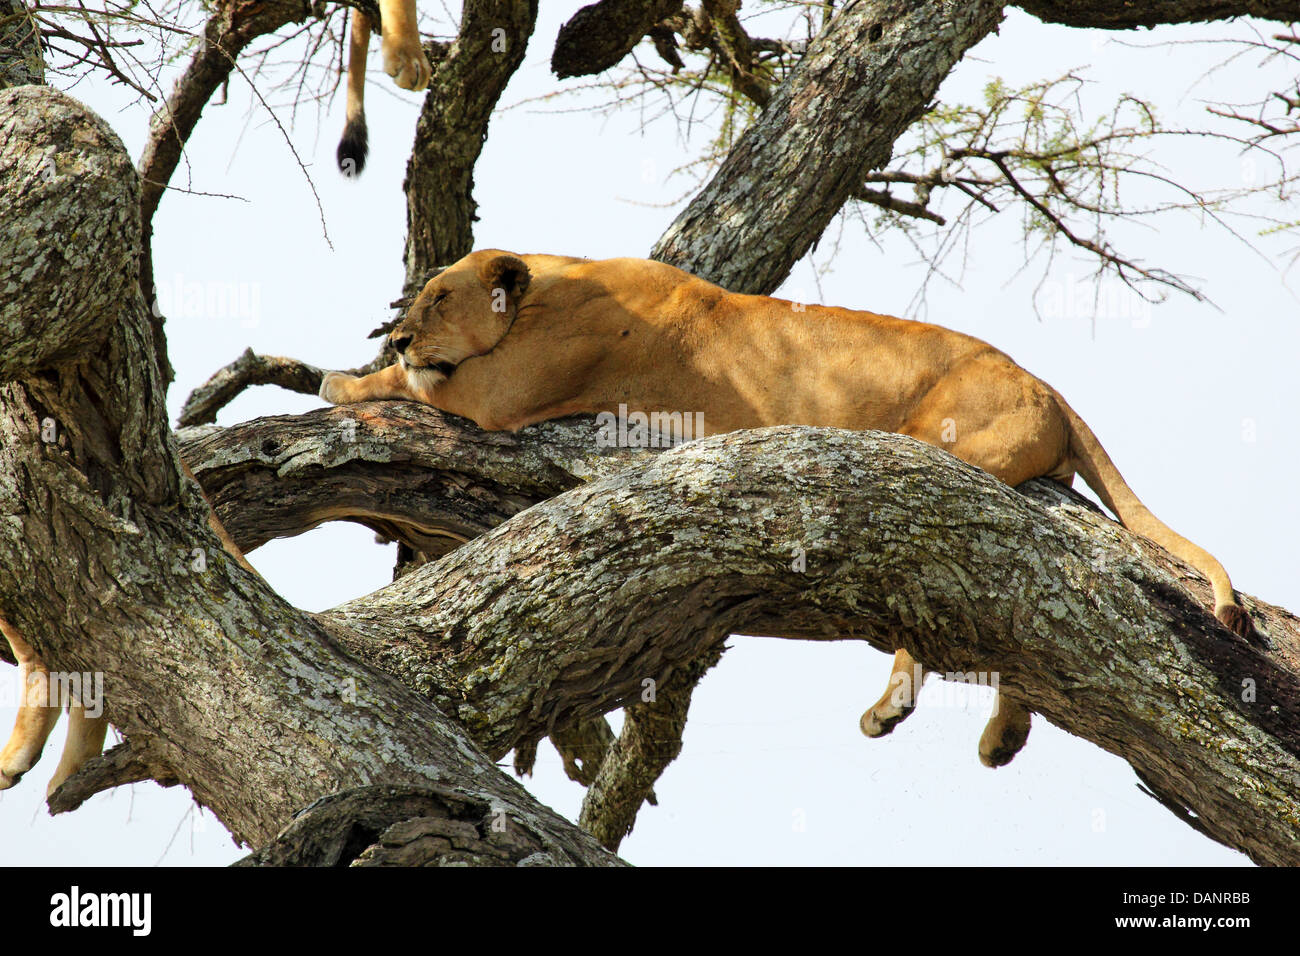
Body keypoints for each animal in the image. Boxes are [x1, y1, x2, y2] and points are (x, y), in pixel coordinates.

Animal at [319, 249, 1256, 767]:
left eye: (439, 299)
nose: (399, 331)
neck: (555, 283)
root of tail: (1048, 387)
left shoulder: (506, 390)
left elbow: (411, 385)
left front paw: (339, 376)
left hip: (932, 457)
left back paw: (895, 705)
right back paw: (1004, 738)